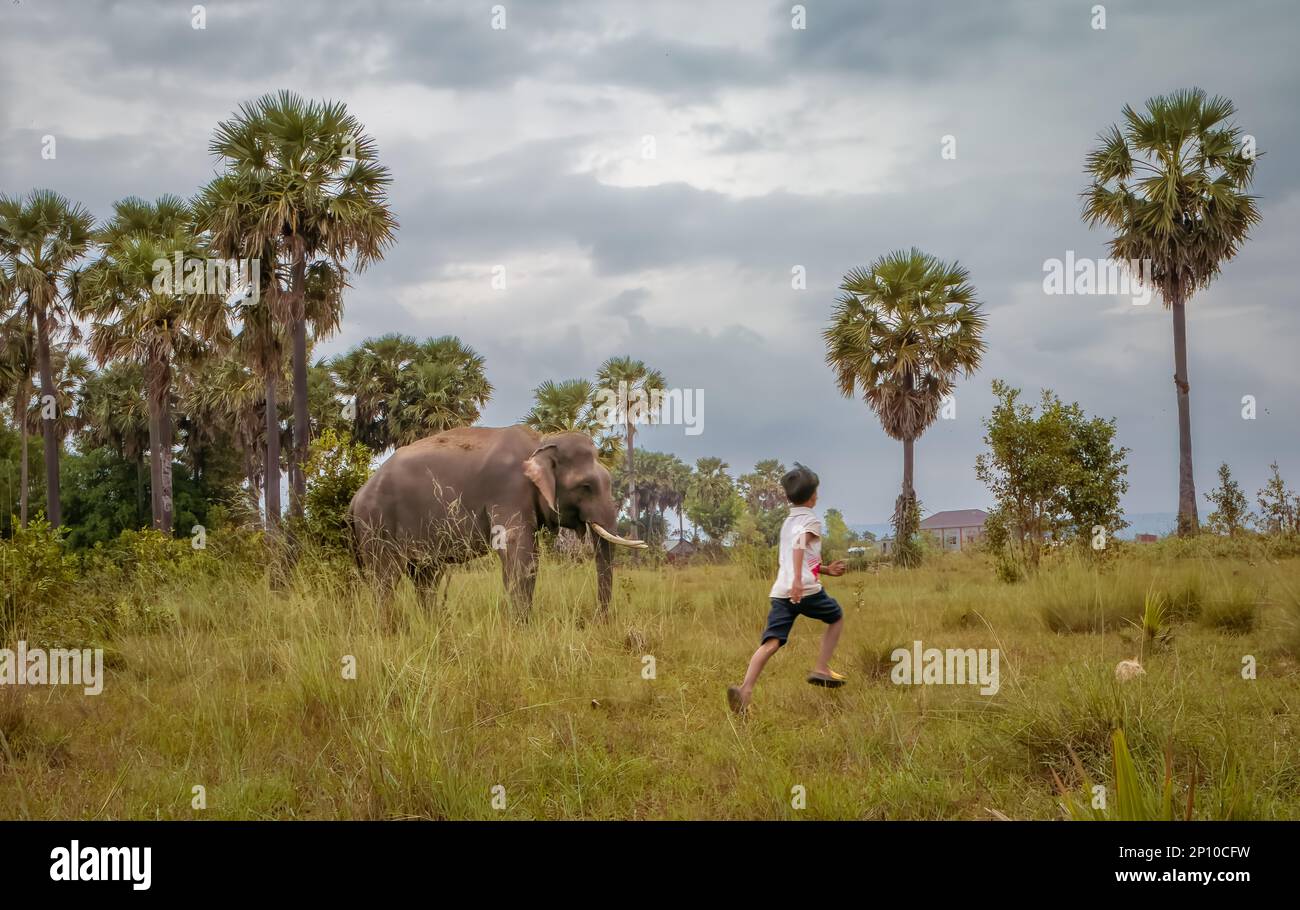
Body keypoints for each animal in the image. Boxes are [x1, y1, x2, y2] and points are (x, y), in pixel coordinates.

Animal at [346, 425, 646, 617]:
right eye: (586, 486)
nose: (598, 619)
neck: (539, 443)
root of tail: (355, 498)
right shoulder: (508, 490)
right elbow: (517, 553)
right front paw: (522, 626)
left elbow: (530, 559)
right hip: (377, 524)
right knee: (385, 580)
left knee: (425, 577)